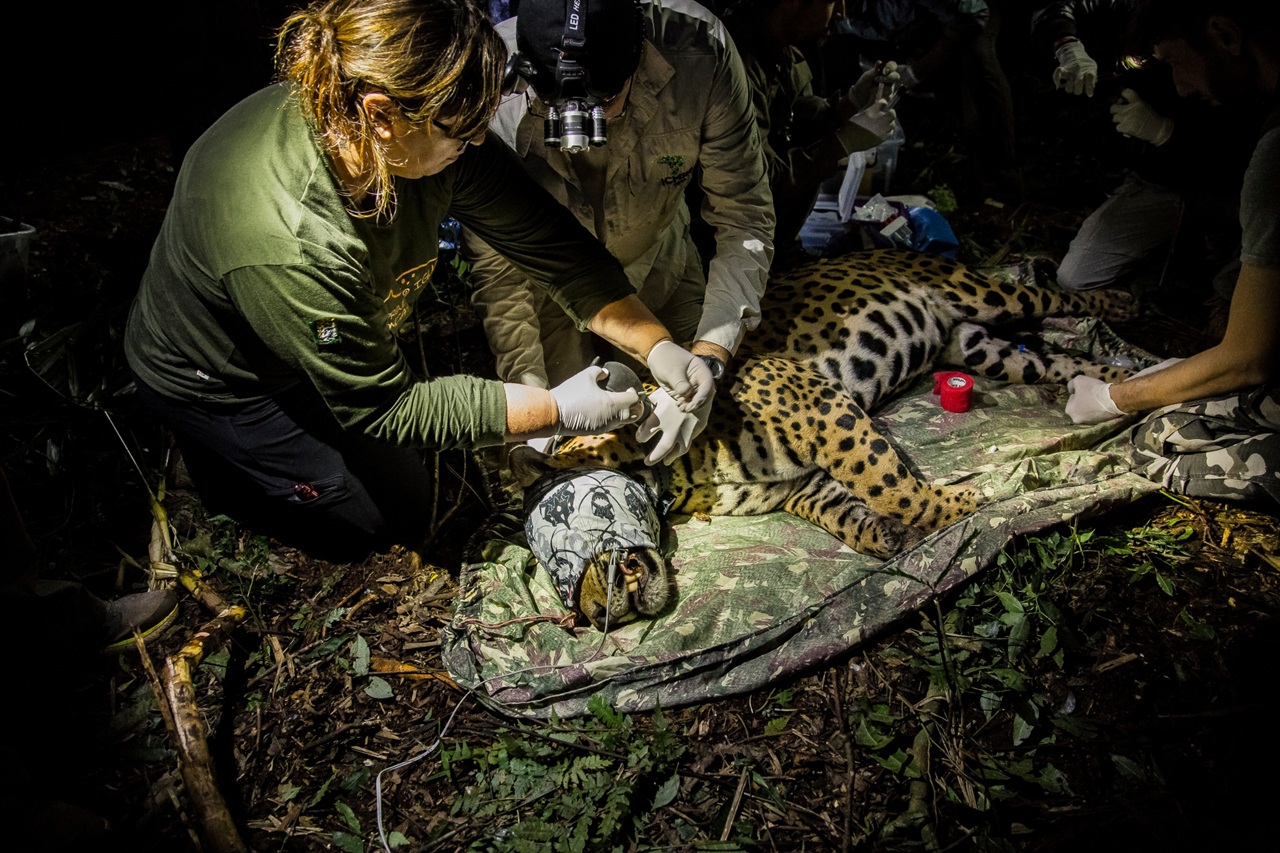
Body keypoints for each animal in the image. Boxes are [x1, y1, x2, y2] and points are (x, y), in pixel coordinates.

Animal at [512, 249, 1140, 628]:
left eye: (567, 523)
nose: (594, 617)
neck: (682, 482)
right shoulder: (801, 482)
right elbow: (847, 506)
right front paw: (886, 534)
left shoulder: (821, 407)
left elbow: (889, 483)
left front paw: (964, 504)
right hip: (982, 349)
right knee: (1060, 359)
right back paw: (1118, 382)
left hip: (983, 293)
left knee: (1054, 298)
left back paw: (1118, 308)